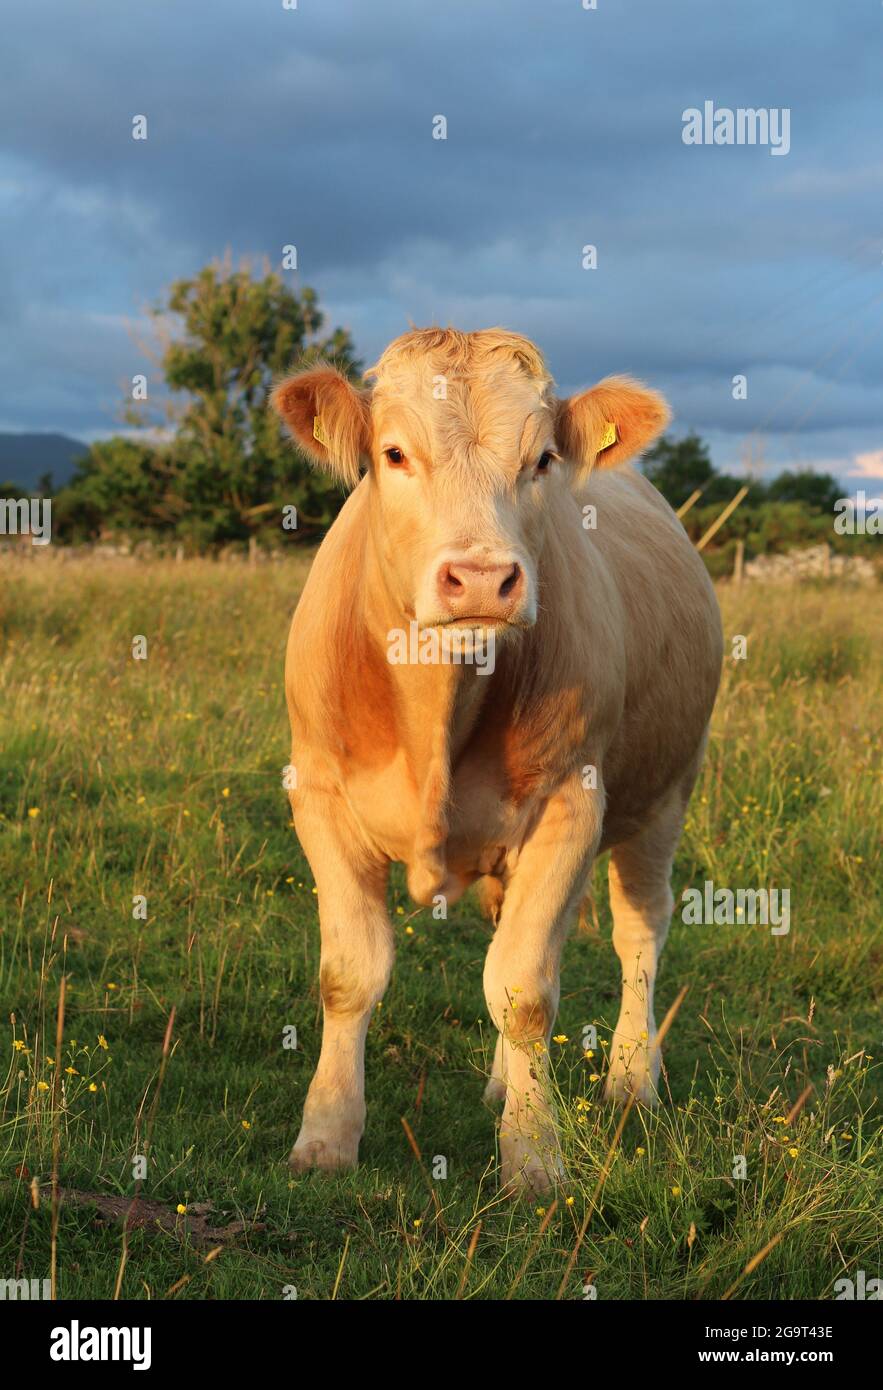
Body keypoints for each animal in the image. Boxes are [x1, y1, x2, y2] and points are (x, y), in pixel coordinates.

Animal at [271, 328, 723, 1194]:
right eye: (392, 453)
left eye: (541, 458)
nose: (481, 577)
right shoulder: (319, 796)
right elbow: (350, 974)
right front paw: (325, 1136)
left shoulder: (572, 804)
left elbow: (524, 994)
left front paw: (535, 1156)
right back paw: (500, 1083)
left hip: (668, 793)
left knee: (638, 932)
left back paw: (630, 1078)